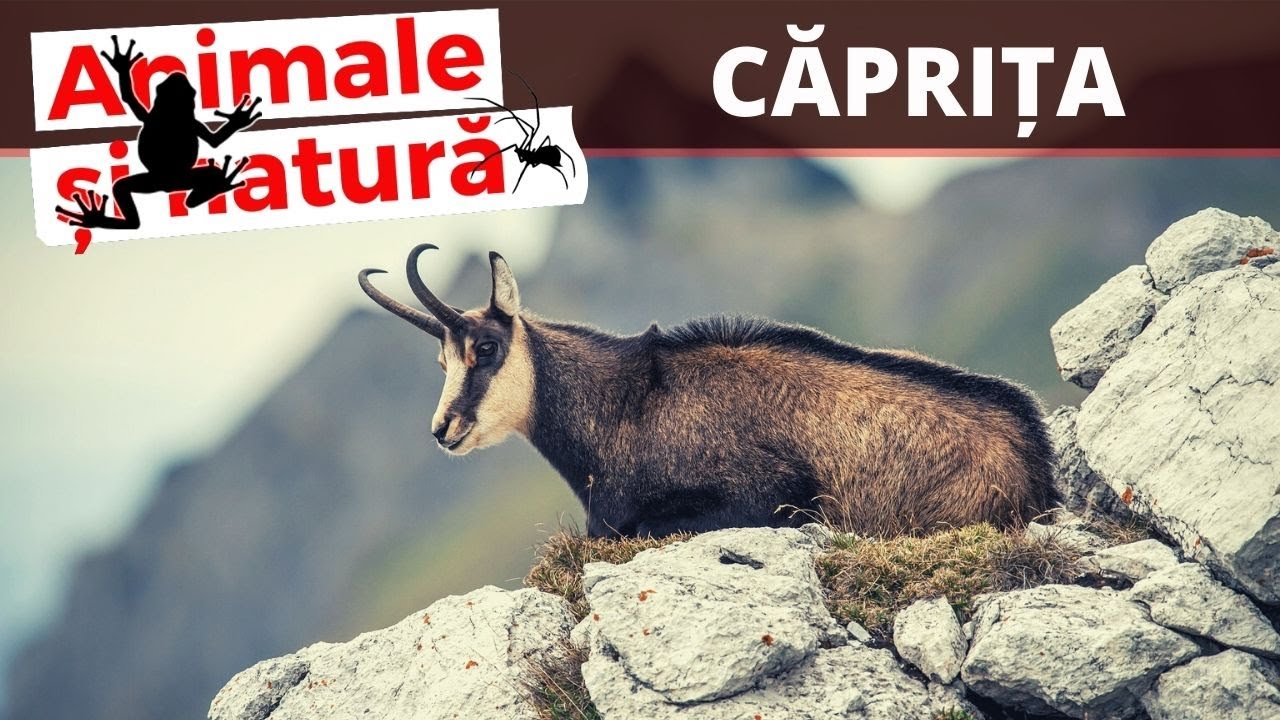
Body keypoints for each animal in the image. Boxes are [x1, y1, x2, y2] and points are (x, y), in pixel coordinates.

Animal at [359, 244, 1059, 538]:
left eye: (486, 348)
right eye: (440, 357)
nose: (443, 429)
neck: (623, 406)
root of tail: (1035, 461)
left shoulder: (772, 494)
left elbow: (628, 530)